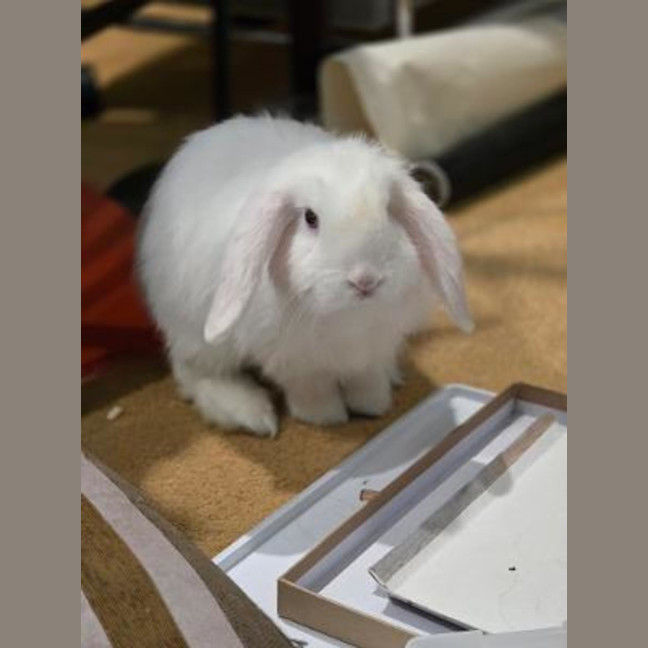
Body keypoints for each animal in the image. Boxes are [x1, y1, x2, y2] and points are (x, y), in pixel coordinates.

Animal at [137, 115, 473, 438]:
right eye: (310, 218)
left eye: (390, 210)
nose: (365, 280)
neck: (348, 317)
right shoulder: (295, 361)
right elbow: (311, 389)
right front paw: (326, 418)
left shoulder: (371, 351)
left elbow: (366, 377)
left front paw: (374, 405)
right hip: (199, 337)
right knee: (196, 375)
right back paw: (252, 415)